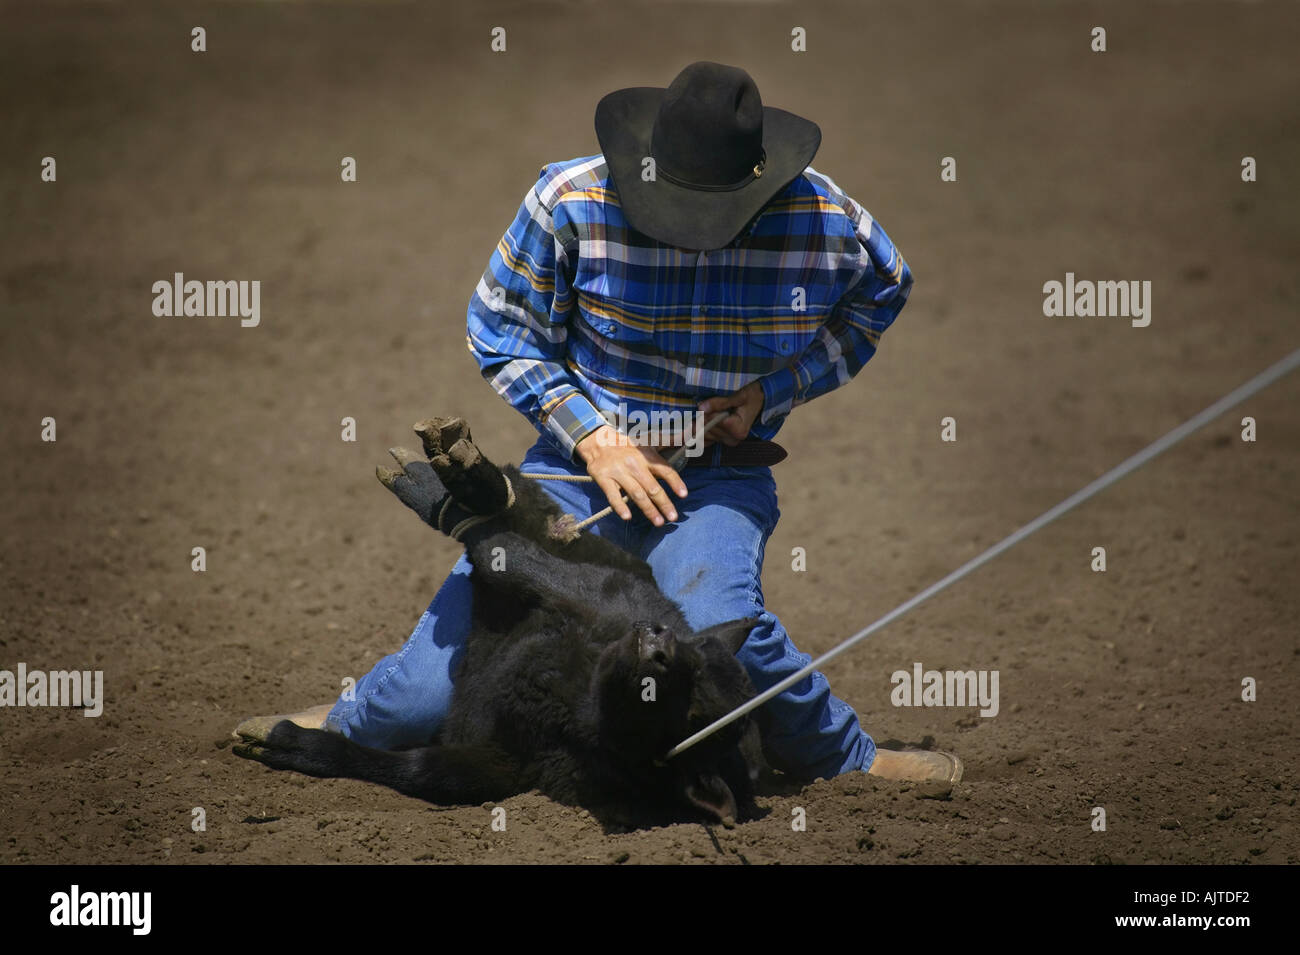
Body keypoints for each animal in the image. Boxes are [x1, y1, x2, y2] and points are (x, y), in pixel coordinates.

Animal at [234, 417, 766, 828]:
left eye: (692, 707)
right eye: (692, 655)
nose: (654, 636)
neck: (576, 692)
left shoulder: (504, 761)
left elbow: (419, 770)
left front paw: (286, 744)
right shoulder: (590, 595)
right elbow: (509, 555)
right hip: (595, 562)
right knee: (525, 521)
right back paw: (455, 476)